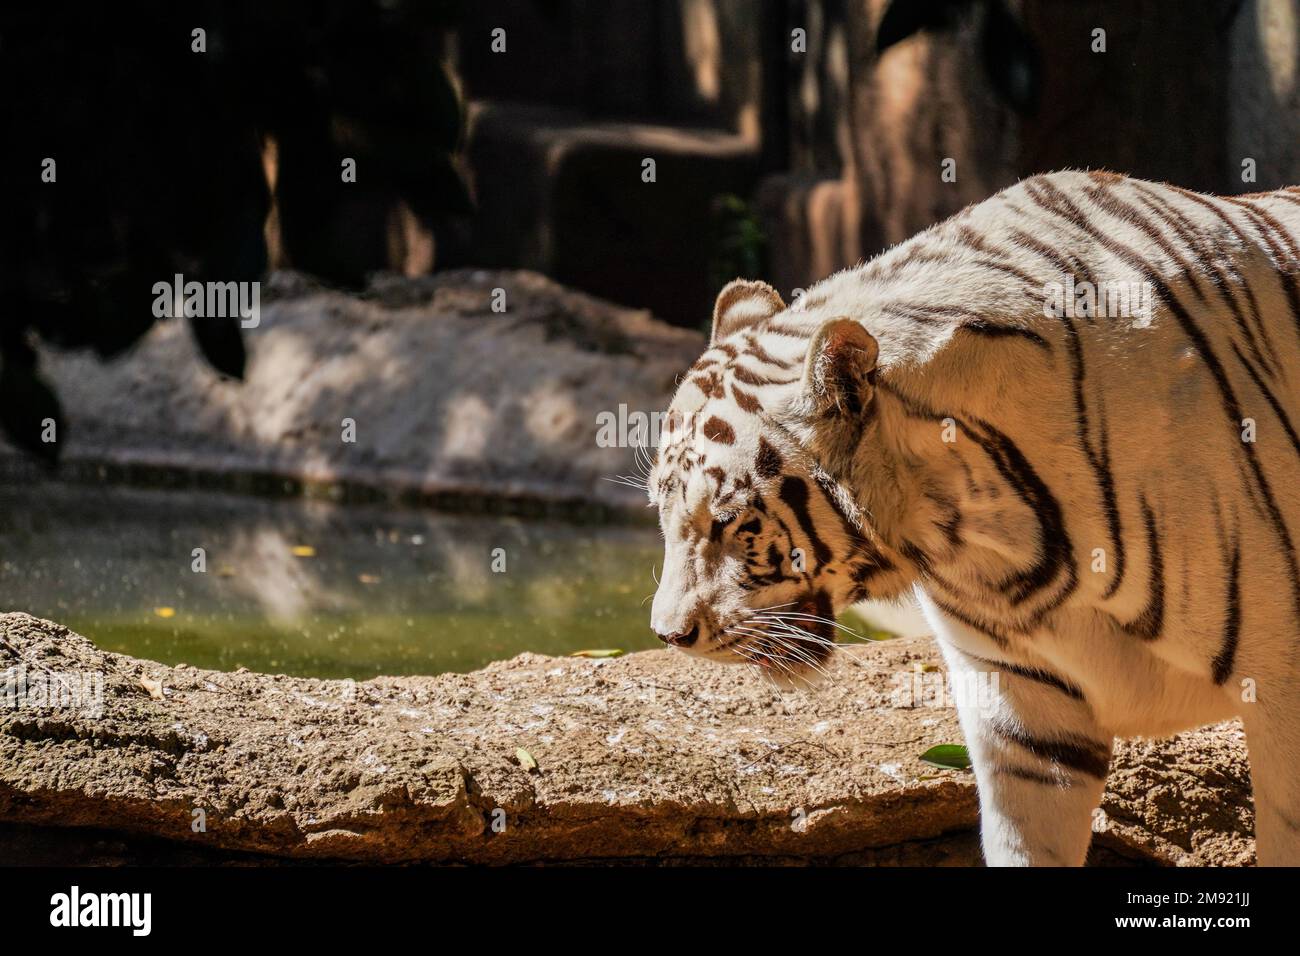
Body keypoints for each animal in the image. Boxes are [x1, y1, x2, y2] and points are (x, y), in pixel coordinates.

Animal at [646, 170, 1300, 867]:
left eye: (730, 520)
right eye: (662, 511)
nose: (668, 635)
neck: (982, 541)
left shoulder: (1283, 687)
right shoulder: (1024, 714)